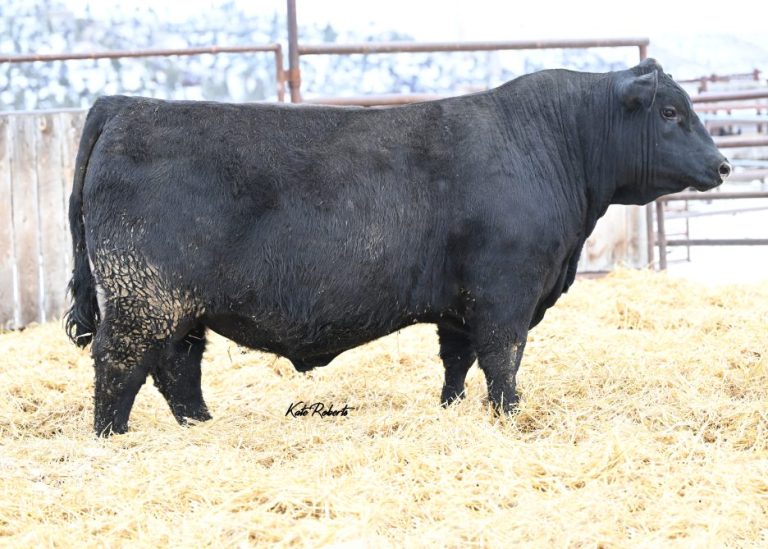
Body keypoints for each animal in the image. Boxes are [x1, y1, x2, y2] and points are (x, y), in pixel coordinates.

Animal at [65, 59, 730, 436]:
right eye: (671, 112)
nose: (724, 165)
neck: (550, 143)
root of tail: (125, 106)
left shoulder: (461, 304)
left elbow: (458, 363)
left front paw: (452, 411)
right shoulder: (505, 292)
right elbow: (503, 361)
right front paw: (511, 417)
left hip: (181, 307)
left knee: (178, 368)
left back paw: (200, 428)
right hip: (143, 296)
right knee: (119, 364)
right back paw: (111, 438)